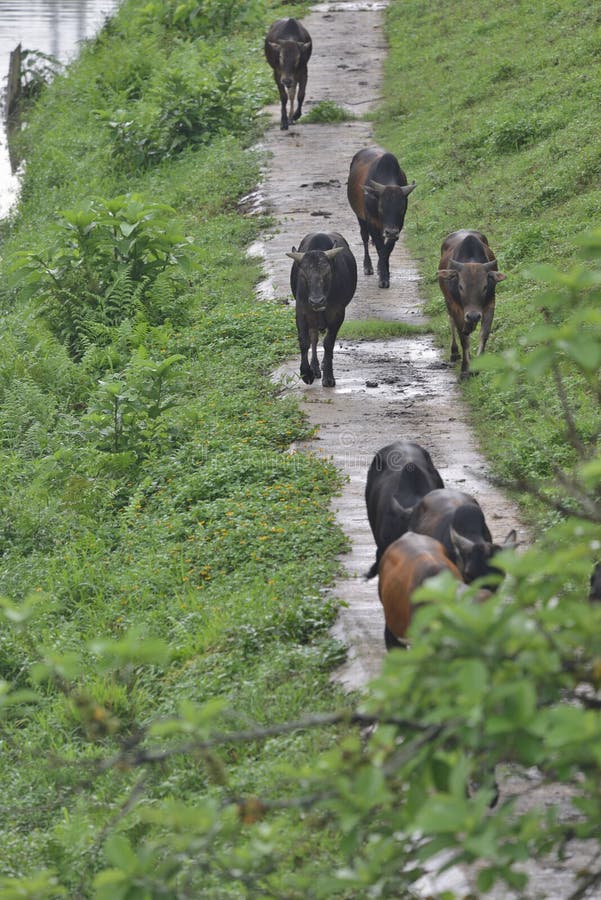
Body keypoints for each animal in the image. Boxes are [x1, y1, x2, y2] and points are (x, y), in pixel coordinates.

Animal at [287, 232, 357, 388]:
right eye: (303, 274)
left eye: (327, 273)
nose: (317, 301)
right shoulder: (301, 312)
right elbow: (305, 341)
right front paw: (306, 374)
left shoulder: (338, 314)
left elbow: (328, 343)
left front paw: (329, 377)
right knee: (314, 337)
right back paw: (315, 368)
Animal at [347, 146, 416, 288]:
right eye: (381, 208)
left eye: (401, 208)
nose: (391, 232)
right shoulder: (371, 222)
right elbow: (380, 248)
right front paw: (383, 278)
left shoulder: (398, 226)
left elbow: (387, 249)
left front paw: (385, 273)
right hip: (361, 218)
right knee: (365, 238)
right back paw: (368, 266)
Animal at [437, 229, 507, 378]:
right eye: (461, 286)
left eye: (485, 286)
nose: (473, 315)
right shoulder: (455, 307)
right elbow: (464, 339)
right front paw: (465, 370)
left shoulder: (490, 305)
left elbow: (483, 334)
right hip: (447, 302)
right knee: (451, 322)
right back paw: (454, 352)